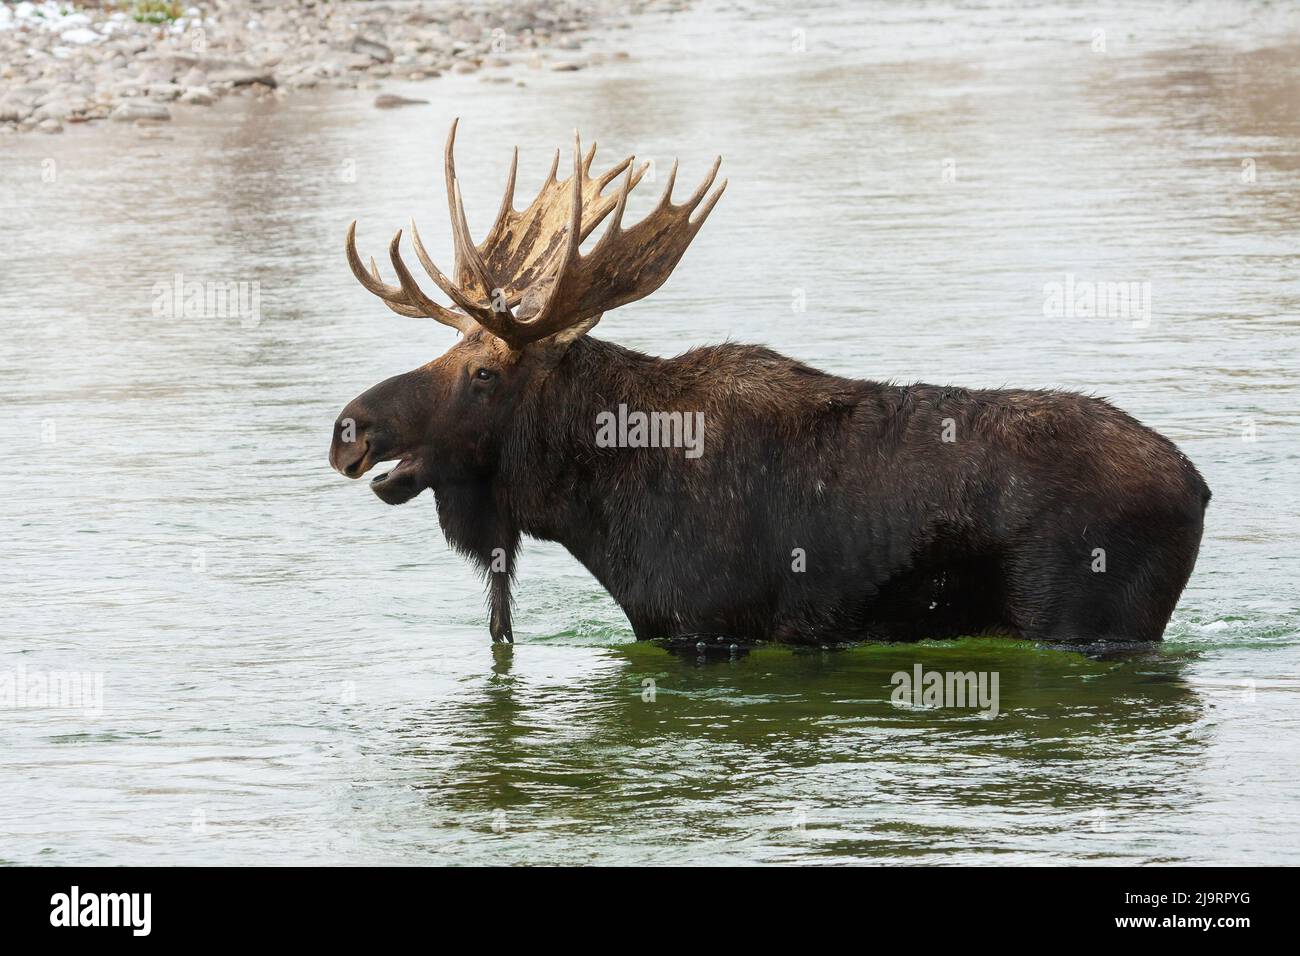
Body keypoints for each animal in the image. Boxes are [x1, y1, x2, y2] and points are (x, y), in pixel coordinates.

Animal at [329, 120, 1210, 646]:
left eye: (484, 371)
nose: (349, 428)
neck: (593, 510)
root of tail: (1200, 488)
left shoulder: (709, 627)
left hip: (1087, 619)